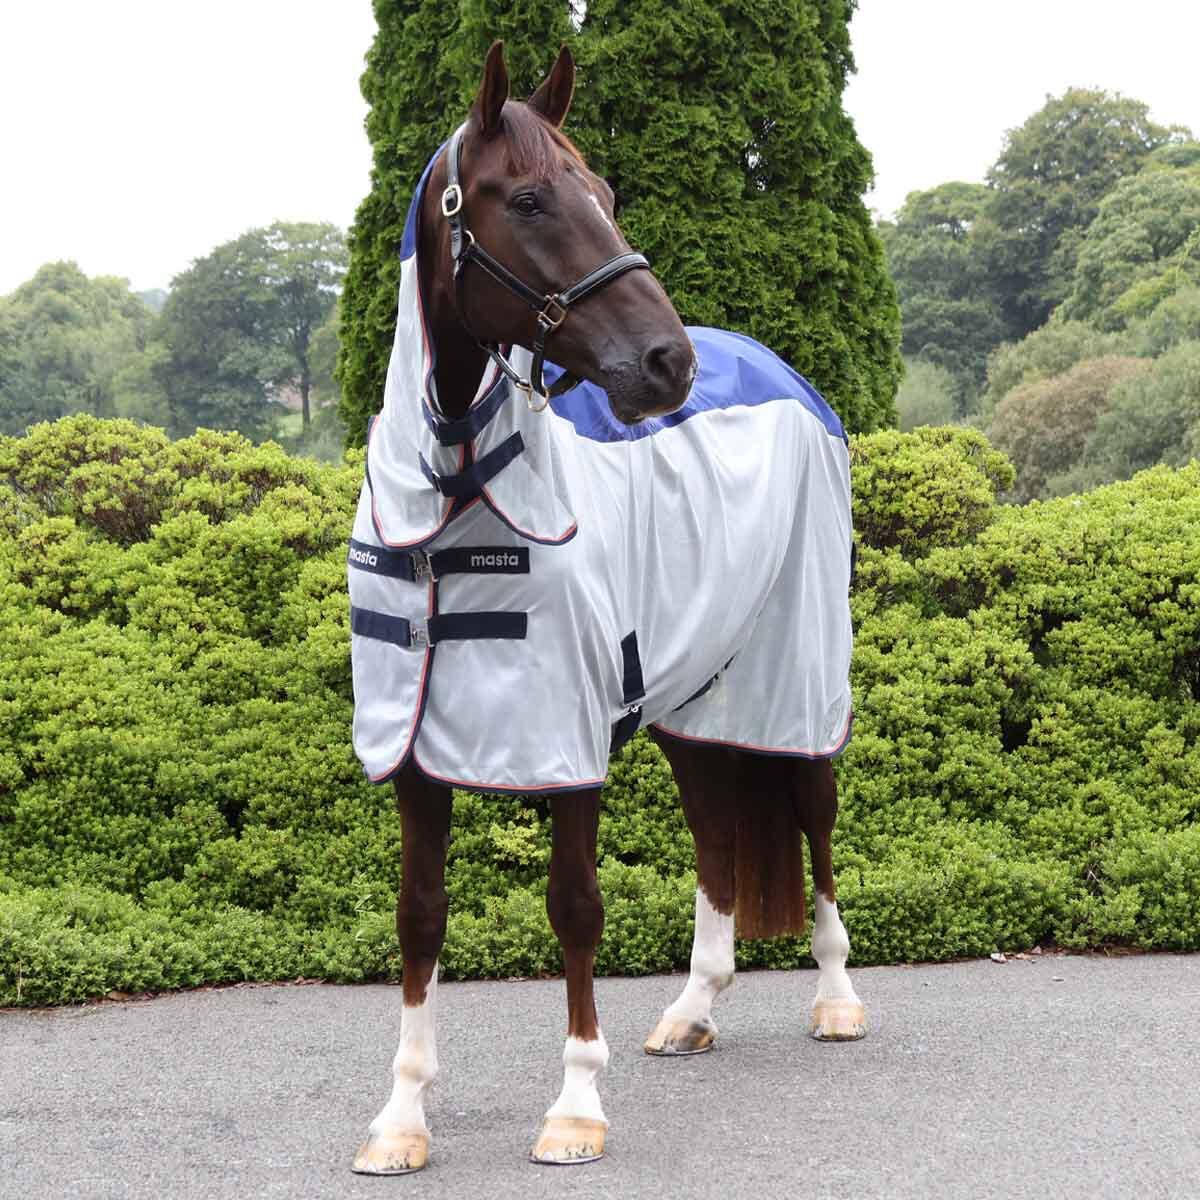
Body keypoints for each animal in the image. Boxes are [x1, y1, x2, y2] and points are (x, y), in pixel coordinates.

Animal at [347, 42, 866, 1173]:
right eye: (530, 198)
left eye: (611, 196)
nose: (667, 363)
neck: (457, 498)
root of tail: (783, 375)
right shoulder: (414, 756)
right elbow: (419, 916)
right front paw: (401, 1118)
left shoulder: (566, 740)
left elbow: (575, 908)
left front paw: (577, 1106)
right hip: (692, 703)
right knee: (717, 835)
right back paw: (693, 1010)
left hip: (798, 684)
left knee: (815, 822)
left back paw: (838, 998)